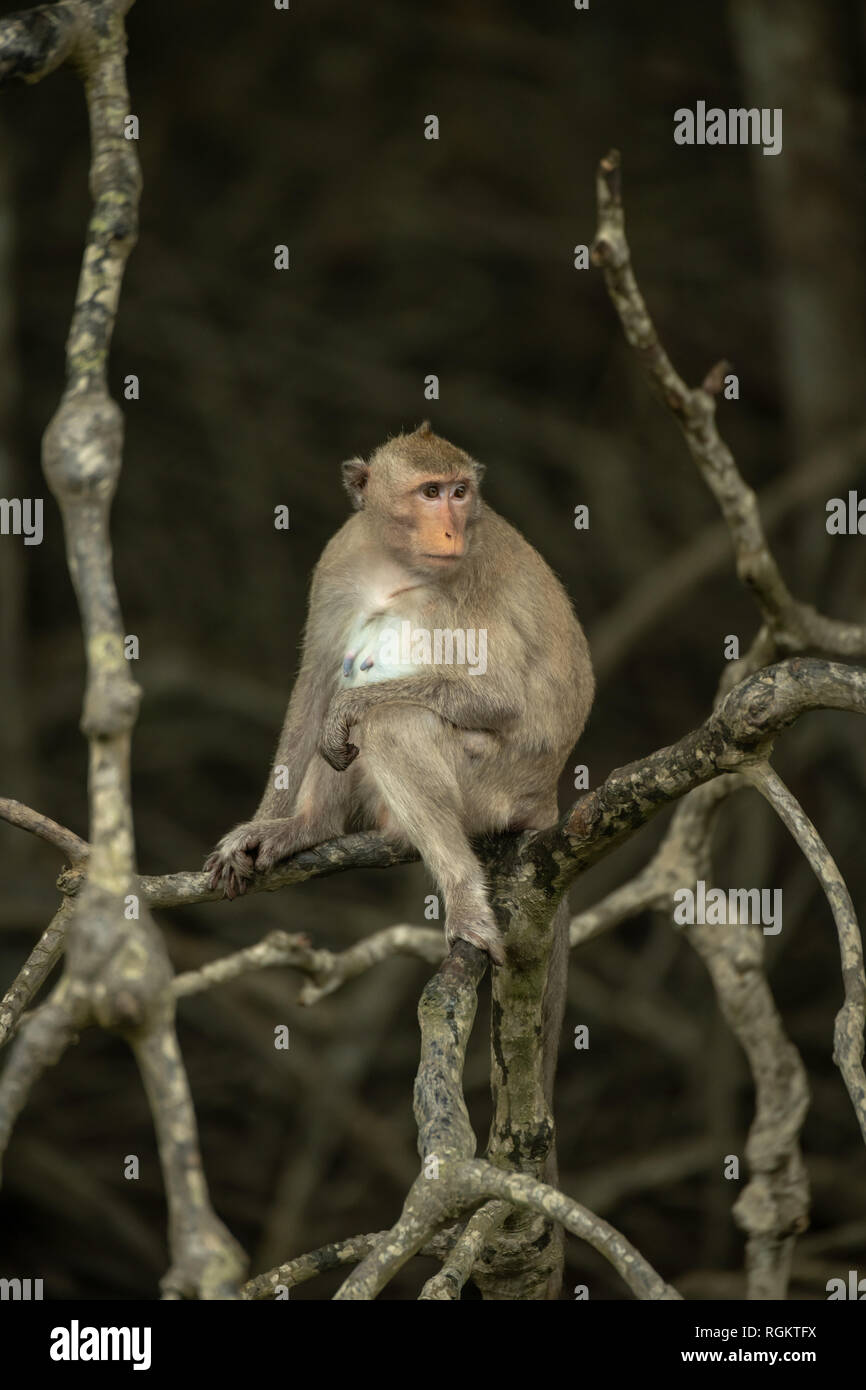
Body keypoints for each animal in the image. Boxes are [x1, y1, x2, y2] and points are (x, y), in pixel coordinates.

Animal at [205, 422, 593, 985]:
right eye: (430, 492)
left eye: (460, 492)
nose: (452, 531)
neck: (398, 563)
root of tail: (546, 795)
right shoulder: (340, 556)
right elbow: (316, 685)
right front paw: (263, 826)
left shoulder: (469, 577)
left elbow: (499, 697)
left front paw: (349, 708)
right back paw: (311, 826)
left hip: (495, 791)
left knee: (389, 725)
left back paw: (464, 902)